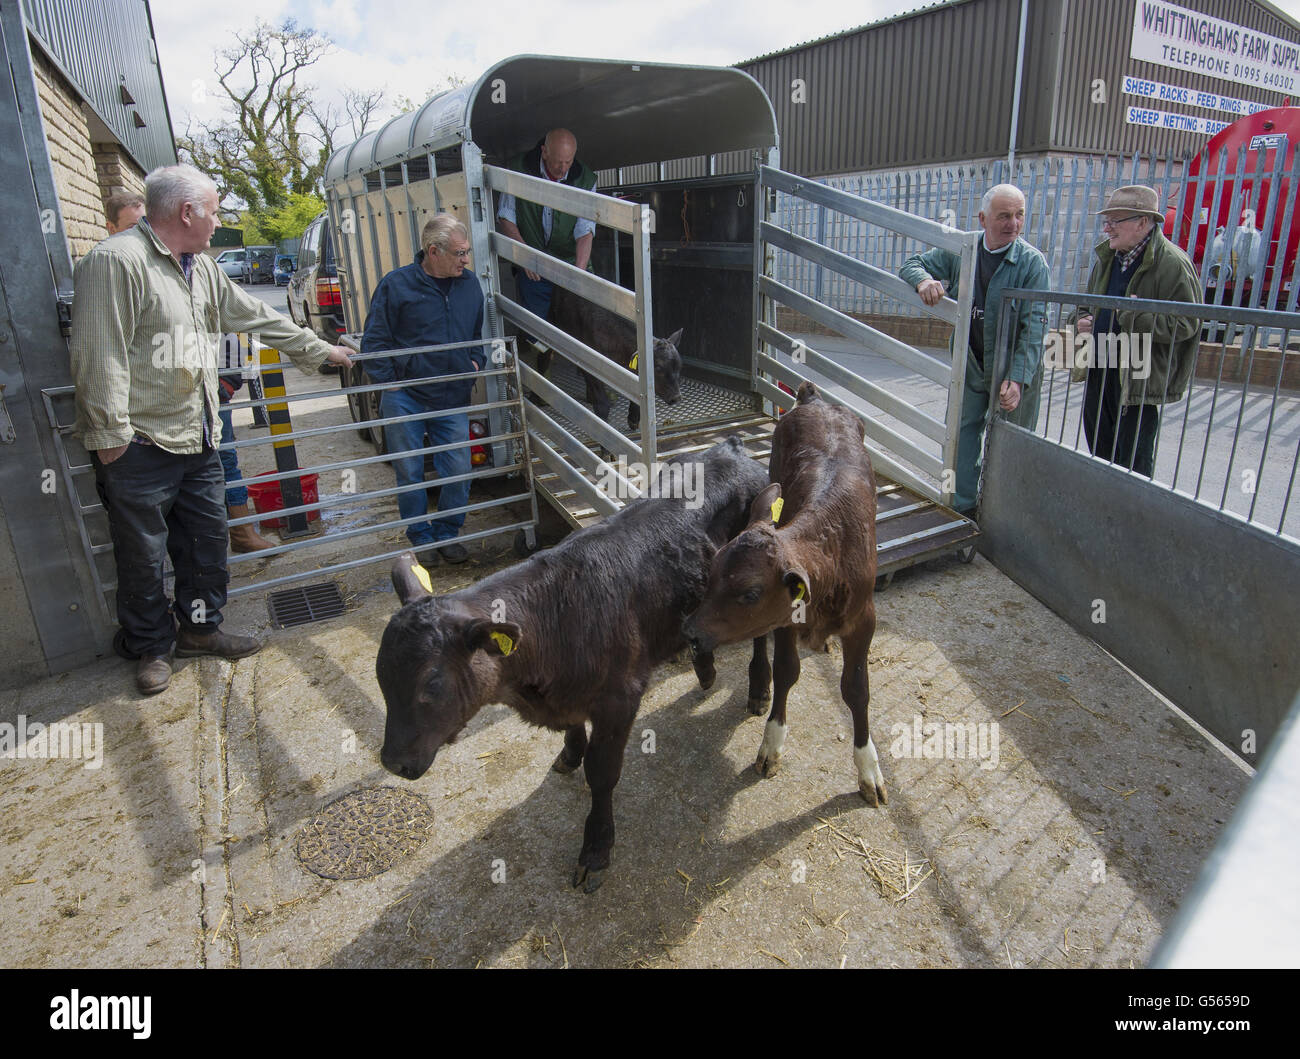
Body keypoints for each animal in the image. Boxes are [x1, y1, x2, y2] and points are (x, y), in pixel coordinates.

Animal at [377, 435, 770, 892]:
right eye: (381, 677)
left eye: (431, 683)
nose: (391, 762)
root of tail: (730, 447)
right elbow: (571, 729)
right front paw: (570, 753)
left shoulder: (619, 698)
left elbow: (602, 774)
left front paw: (596, 849)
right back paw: (703, 667)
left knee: (762, 637)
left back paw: (759, 690)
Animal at [546, 283, 683, 431]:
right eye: (657, 367)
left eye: (679, 367)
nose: (676, 397)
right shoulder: (591, 362)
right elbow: (602, 402)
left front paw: (633, 420)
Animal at [683, 381, 887, 806]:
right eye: (711, 575)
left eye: (749, 593)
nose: (689, 632)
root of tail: (813, 399)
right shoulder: (786, 619)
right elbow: (786, 671)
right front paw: (771, 745)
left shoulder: (864, 619)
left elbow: (856, 690)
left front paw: (868, 769)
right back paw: (759, 686)